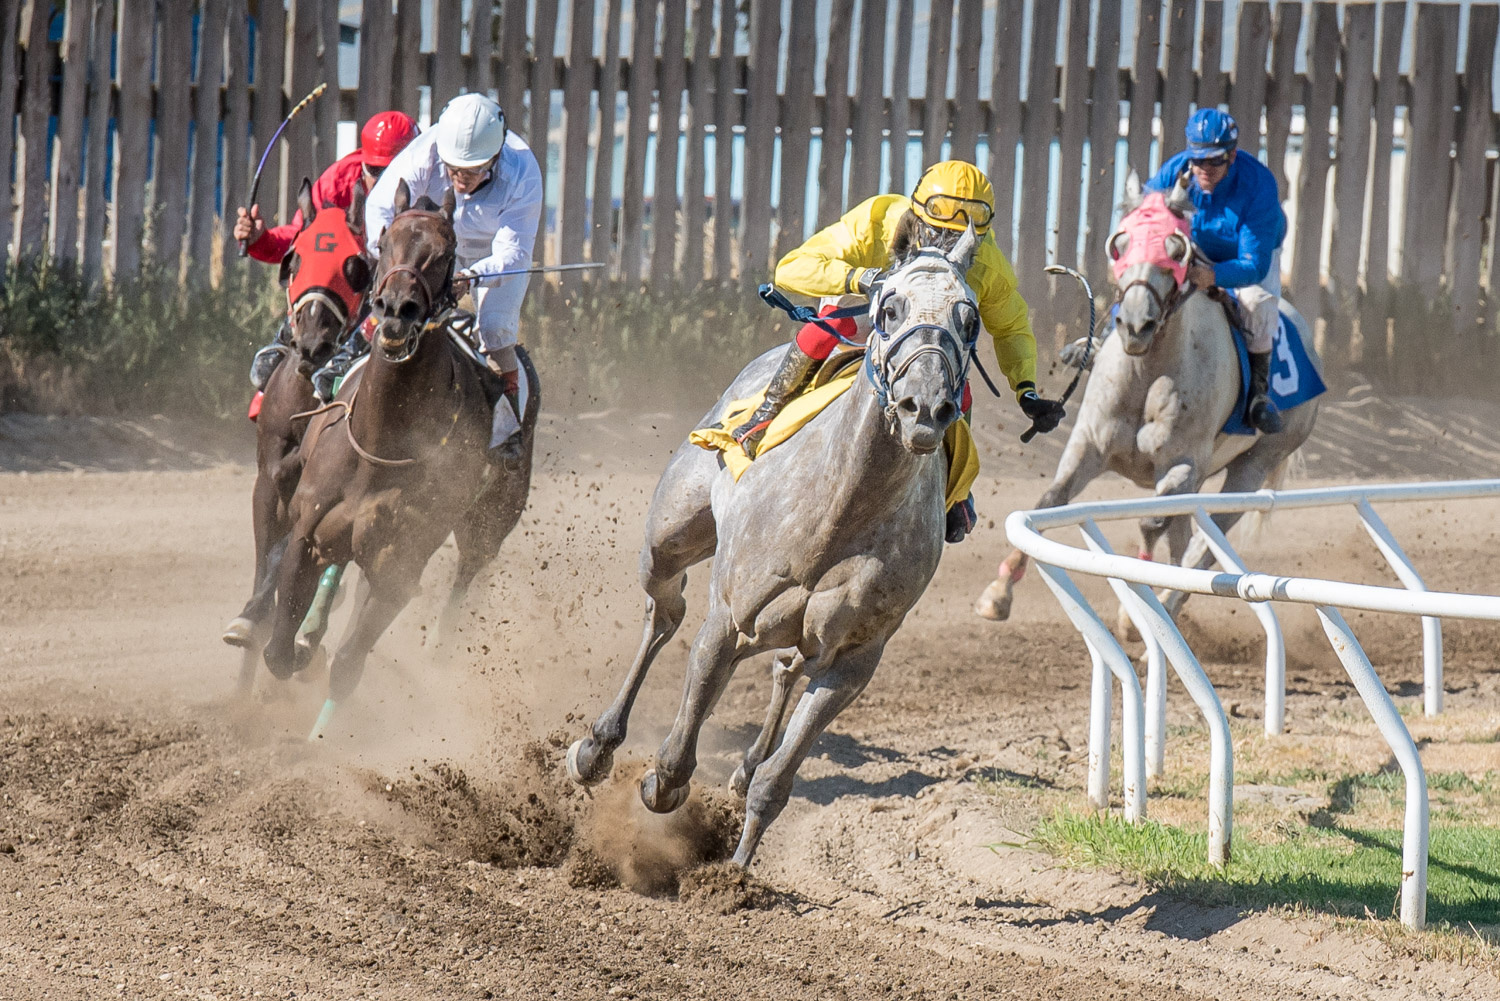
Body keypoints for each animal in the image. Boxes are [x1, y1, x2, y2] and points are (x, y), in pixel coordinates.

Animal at [222, 178, 372, 678]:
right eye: (296, 260)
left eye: (355, 266)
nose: (311, 346)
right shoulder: (269, 477)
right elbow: (269, 552)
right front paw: (250, 621)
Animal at [260, 181, 539, 737]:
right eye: (384, 242)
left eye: (447, 250)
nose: (396, 309)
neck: (382, 442)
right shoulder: (307, 531)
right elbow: (279, 647)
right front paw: (299, 648)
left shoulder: (398, 564)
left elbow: (348, 663)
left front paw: (320, 739)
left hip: (490, 522)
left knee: (467, 574)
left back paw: (438, 648)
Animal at [566, 228, 982, 867]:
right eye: (889, 309)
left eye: (970, 319)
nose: (926, 408)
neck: (841, 509)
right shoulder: (729, 621)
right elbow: (676, 758)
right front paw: (659, 783)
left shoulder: (854, 661)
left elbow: (776, 779)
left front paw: (737, 869)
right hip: (670, 536)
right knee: (665, 612)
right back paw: (599, 745)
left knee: (785, 668)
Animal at [974, 169, 1321, 627]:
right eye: (1121, 243)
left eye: (1175, 249)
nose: (1136, 324)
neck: (1147, 372)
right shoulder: (1088, 444)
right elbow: (1049, 502)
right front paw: (998, 592)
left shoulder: (1183, 465)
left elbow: (1152, 523)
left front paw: (1135, 609)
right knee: (1186, 536)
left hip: (1255, 464)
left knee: (1204, 545)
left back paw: (1169, 603)